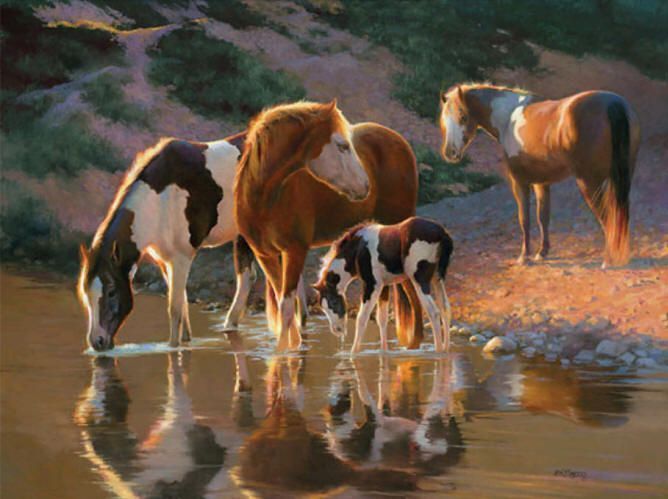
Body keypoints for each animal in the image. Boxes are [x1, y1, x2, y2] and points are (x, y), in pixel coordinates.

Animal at [235, 100, 423, 352]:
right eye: (342, 146)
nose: (366, 186)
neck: (264, 198)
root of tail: (401, 143)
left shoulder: (295, 252)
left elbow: (286, 306)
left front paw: (283, 352)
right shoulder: (265, 255)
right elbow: (282, 300)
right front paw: (291, 347)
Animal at [314, 217, 453, 354]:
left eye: (333, 302)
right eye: (323, 308)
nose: (337, 330)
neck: (358, 249)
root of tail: (442, 233)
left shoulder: (371, 285)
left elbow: (362, 318)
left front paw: (353, 354)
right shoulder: (383, 286)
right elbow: (381, 319)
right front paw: (383, 352)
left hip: (420, 280)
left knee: (433, 312)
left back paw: (438, 351)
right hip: (436, 279)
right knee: (444, 308)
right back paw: (446, 349)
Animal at [439, 83, 640, 267]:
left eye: (463, 117)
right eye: (444, 120)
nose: (450, 153)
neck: (509, 119)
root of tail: (612, 103)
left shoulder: (520, 182)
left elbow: (524, 219)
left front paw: (523, 257)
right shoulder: (541, 182)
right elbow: (542, 217)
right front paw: (542, 253)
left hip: (590, 182)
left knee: (607, 217)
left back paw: (609, 260)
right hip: (619, 179)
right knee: (619, 214)